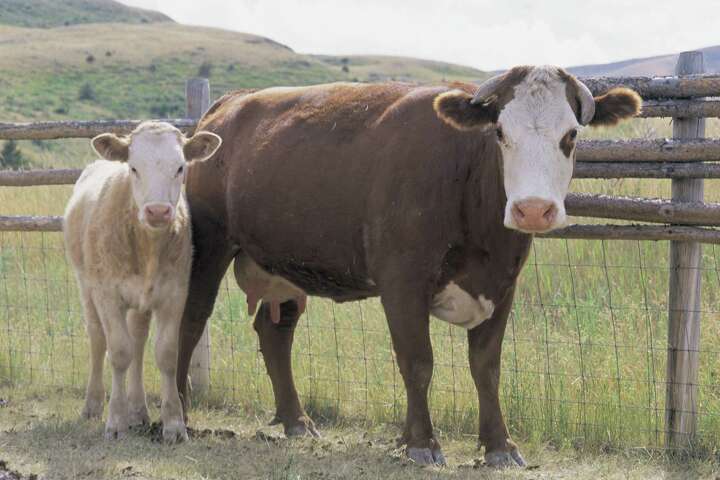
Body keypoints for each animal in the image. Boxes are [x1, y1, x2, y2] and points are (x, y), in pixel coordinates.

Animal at [64, 121, 221, 442]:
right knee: (98, 339)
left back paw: (137, 410)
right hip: (86, 285)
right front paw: (115, 420)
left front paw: (173, 424)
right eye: (133, 168)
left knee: (137, 339)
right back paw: (93, 404)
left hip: (141, 301)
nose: (157, 211)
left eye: (180, 167)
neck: (147, 245)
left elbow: (166, 354)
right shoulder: (107, 294)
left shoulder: (174, 294)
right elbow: (118, 352)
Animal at [175, 66, 641, 465]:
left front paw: (500, 446)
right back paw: (177, 414)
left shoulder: (503, 285)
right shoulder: (403, 282)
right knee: (190, 321)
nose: (533, 209)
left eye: (571, 135)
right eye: (500, 132)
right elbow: (417, 362)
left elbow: (487, 367)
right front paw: (421, 443)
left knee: (276, 334)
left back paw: (297, 421)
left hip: (283, 263)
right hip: (209, 244)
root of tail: (228, 104)